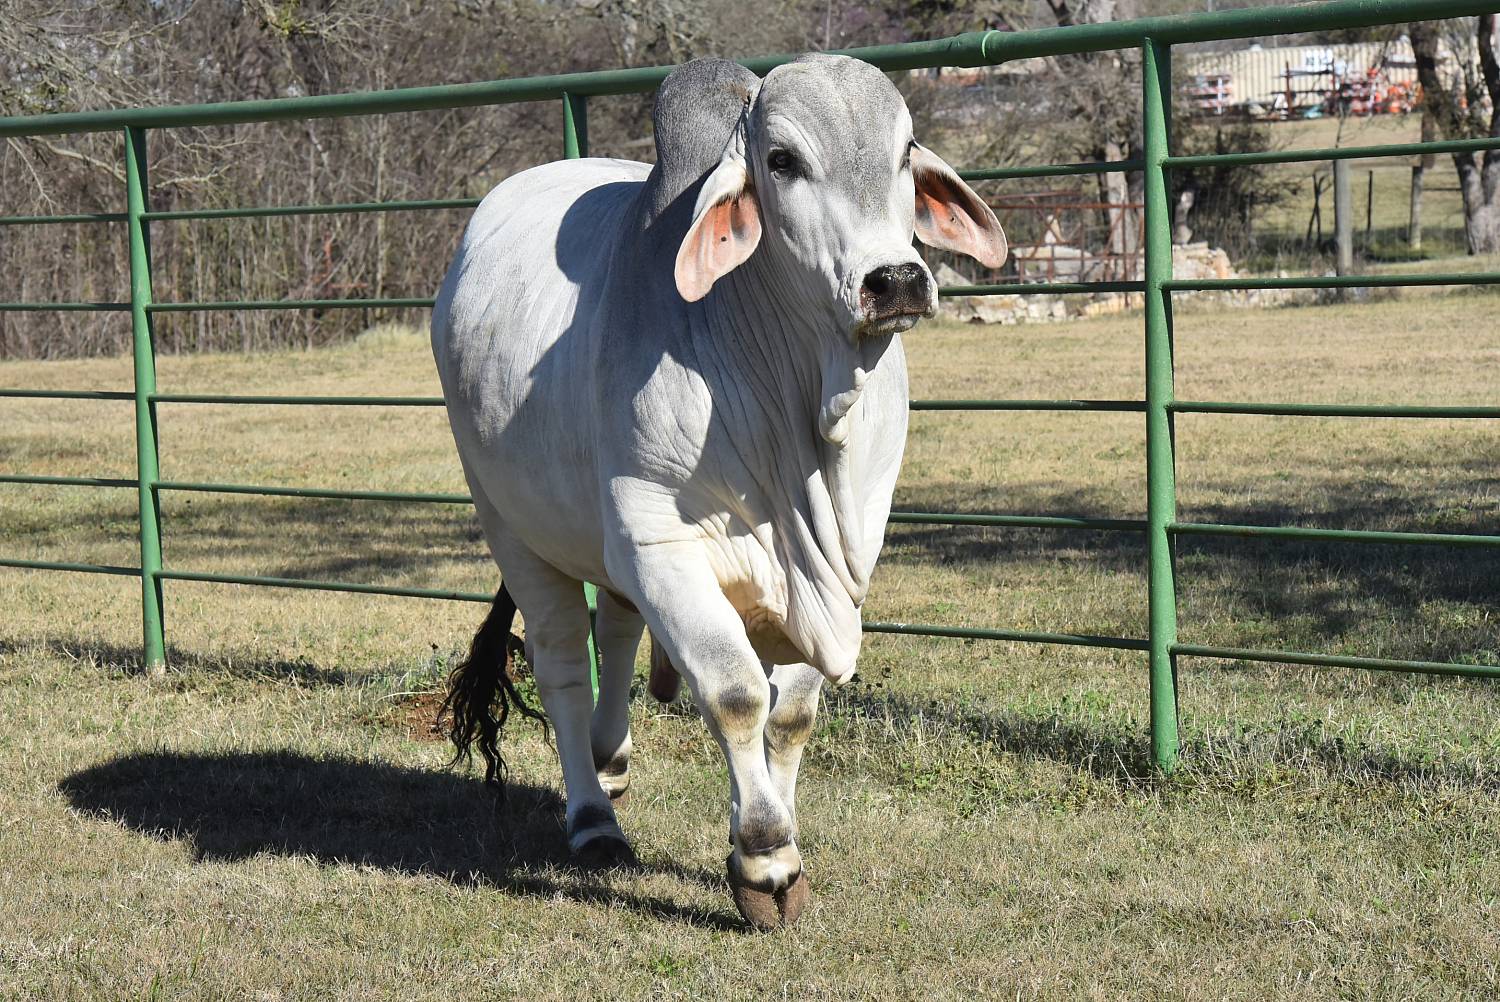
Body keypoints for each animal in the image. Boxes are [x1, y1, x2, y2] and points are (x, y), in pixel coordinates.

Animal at [431, 53, 1006, 930]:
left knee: (618, 630)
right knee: (562, 661)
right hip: (511, 523)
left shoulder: (839, 561)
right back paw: (592, 816)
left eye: (906, 152)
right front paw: (766, 860)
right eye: (782, 160)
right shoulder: (658, 540)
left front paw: (766, 829)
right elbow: (735, 694)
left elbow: (790, 712)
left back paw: (612, 760)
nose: (898, 279)